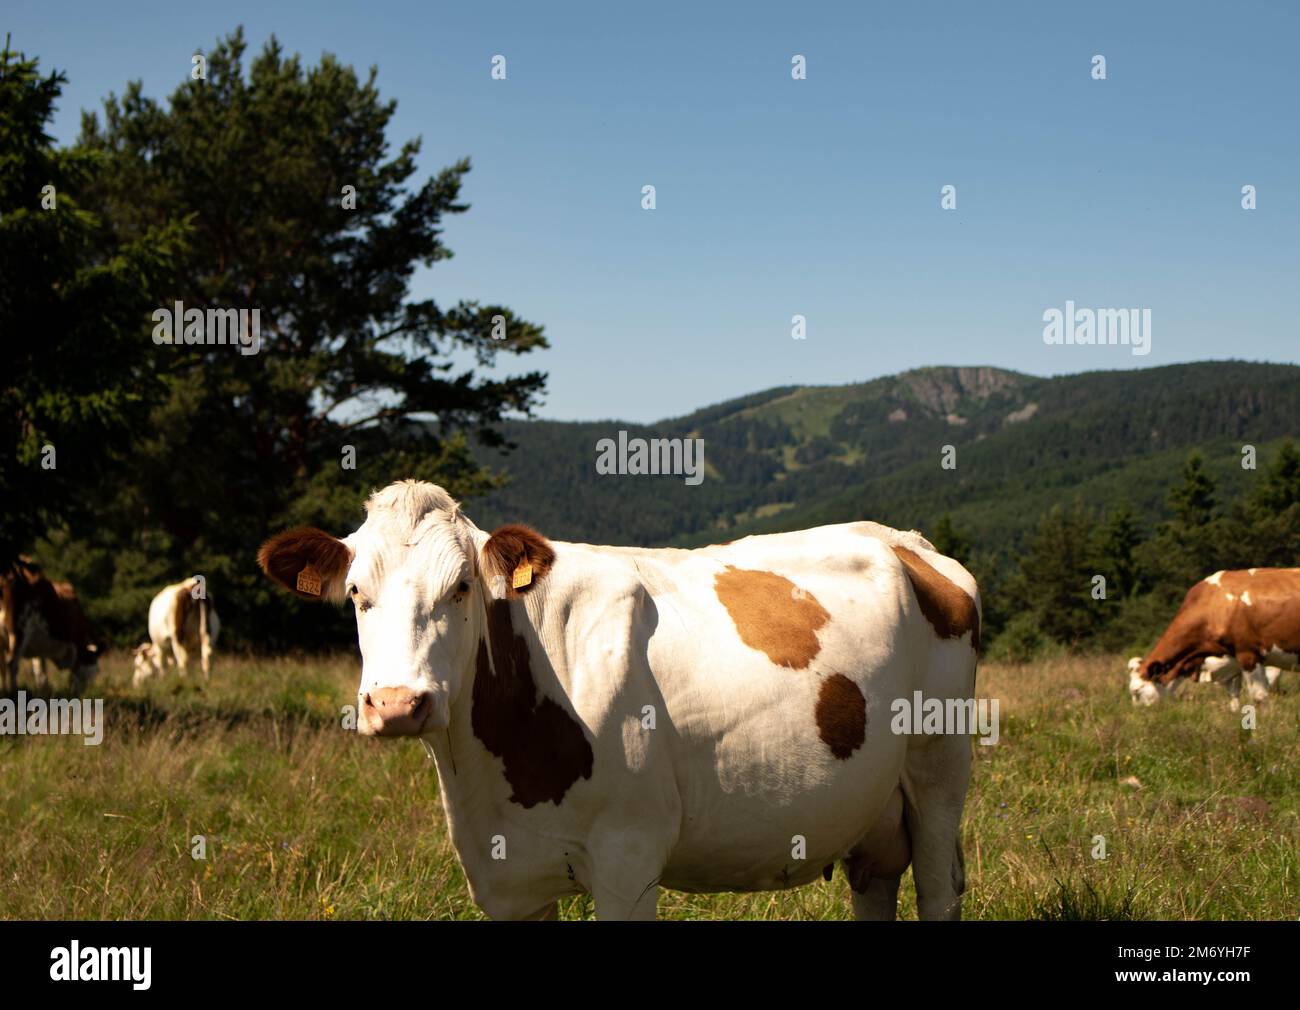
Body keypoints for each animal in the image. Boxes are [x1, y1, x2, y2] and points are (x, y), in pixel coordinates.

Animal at [1, 559, 100, 695]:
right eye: (94, 672)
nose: (82, 694)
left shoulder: (39, 648)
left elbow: (40, 674)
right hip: (19, 631)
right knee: (12, 664)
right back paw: (13, 692)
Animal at [257, 480, 981, 921]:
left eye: (461, 586)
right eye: (356, 592)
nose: (397, 704)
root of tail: (906, 542)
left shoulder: (628, 860)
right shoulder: (503, 879)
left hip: (940, 775)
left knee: (939, 888)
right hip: (871, 809)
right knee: (876, 881)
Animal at [1128, 568, 1300, 709]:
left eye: (1136, 691)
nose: (1137, 714)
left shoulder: (1248, 655)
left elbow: (1260, 696)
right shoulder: (1232, 661)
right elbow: (1234, 697)